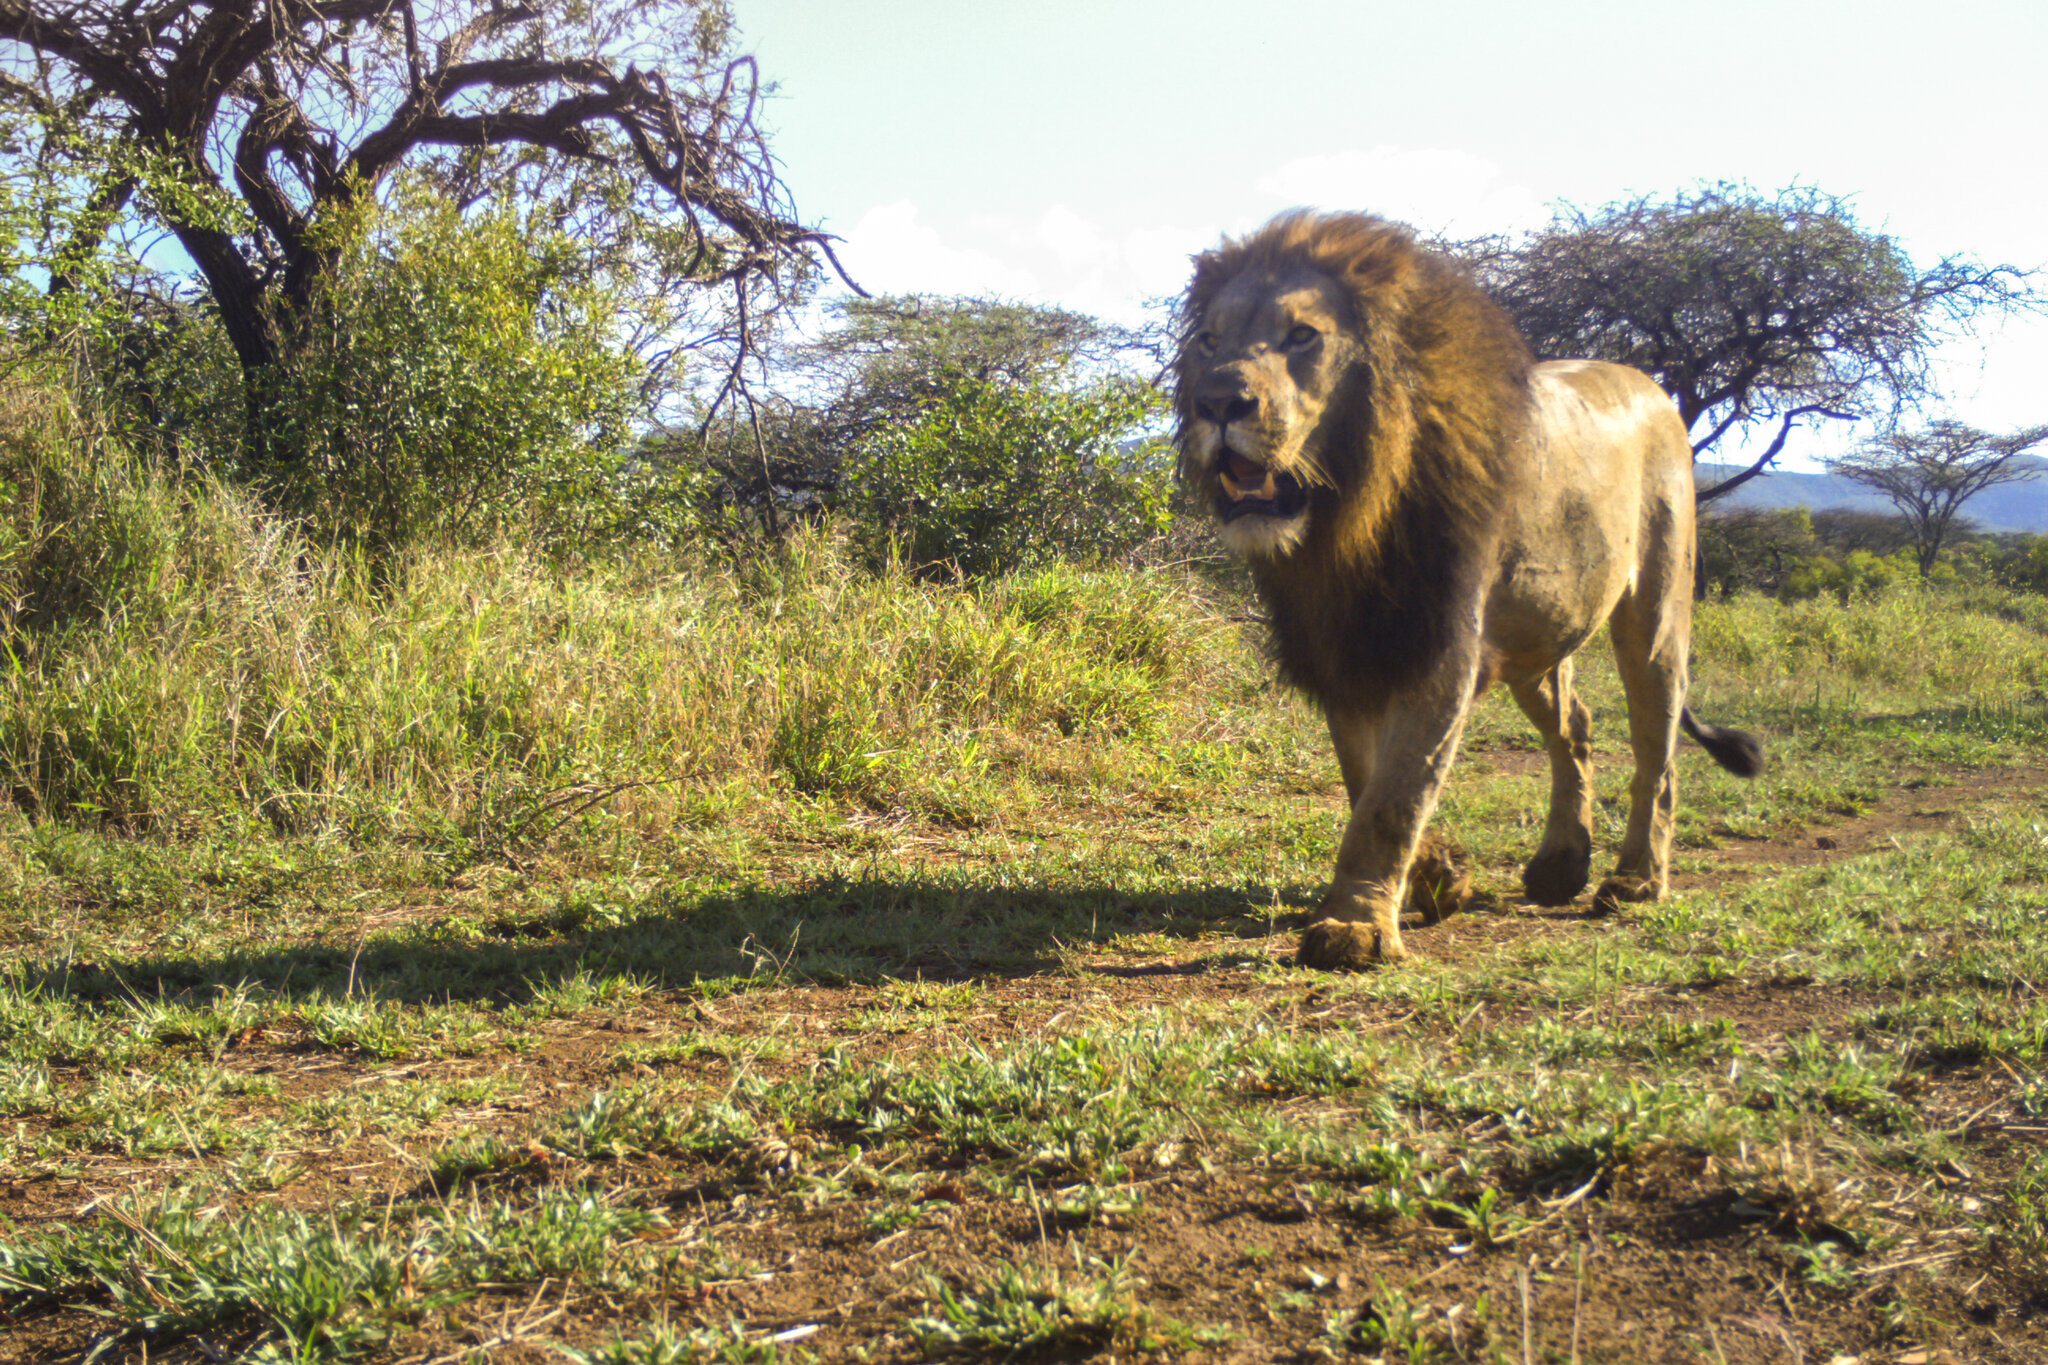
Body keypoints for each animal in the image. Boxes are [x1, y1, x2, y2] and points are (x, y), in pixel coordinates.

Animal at [1175, 210, 1762, 970]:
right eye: (1208, 341)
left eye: (1303, 335)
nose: (1217, 400)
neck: (1347, 521)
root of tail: (1652, 385)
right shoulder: (1349, 652)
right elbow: (1365, 780)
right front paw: (1437, 879)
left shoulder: (1441, 648)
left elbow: (1394, 796)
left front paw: (1355, 927)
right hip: (1537, 639)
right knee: (1575, 726)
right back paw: (1560, 865)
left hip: (1655, 611)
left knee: (1654, 751)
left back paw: (1634, 880)